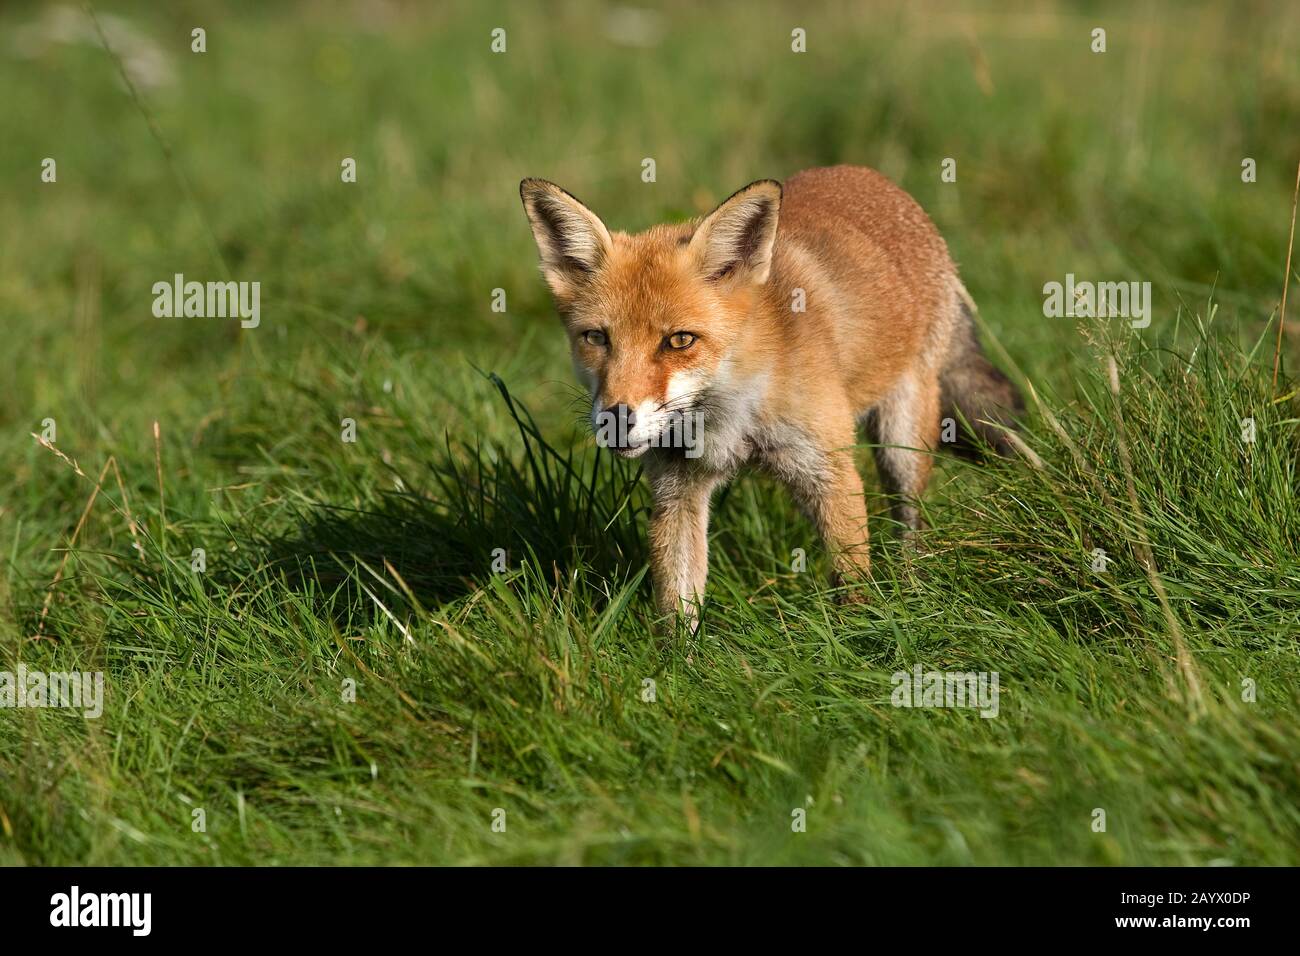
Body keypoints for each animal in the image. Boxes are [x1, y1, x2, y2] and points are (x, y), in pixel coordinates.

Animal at [519, 164, 1023, 628]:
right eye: (598, 338)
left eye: (679, 341)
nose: (616, 419)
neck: (732, 412)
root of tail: (871, 177)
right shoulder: (676, 490)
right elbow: (677, 606)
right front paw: (679, 664)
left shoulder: (829, 470)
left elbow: (852, 581)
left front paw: (864, 637)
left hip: (902, 440)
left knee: (910, 521)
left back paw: (913, 582)